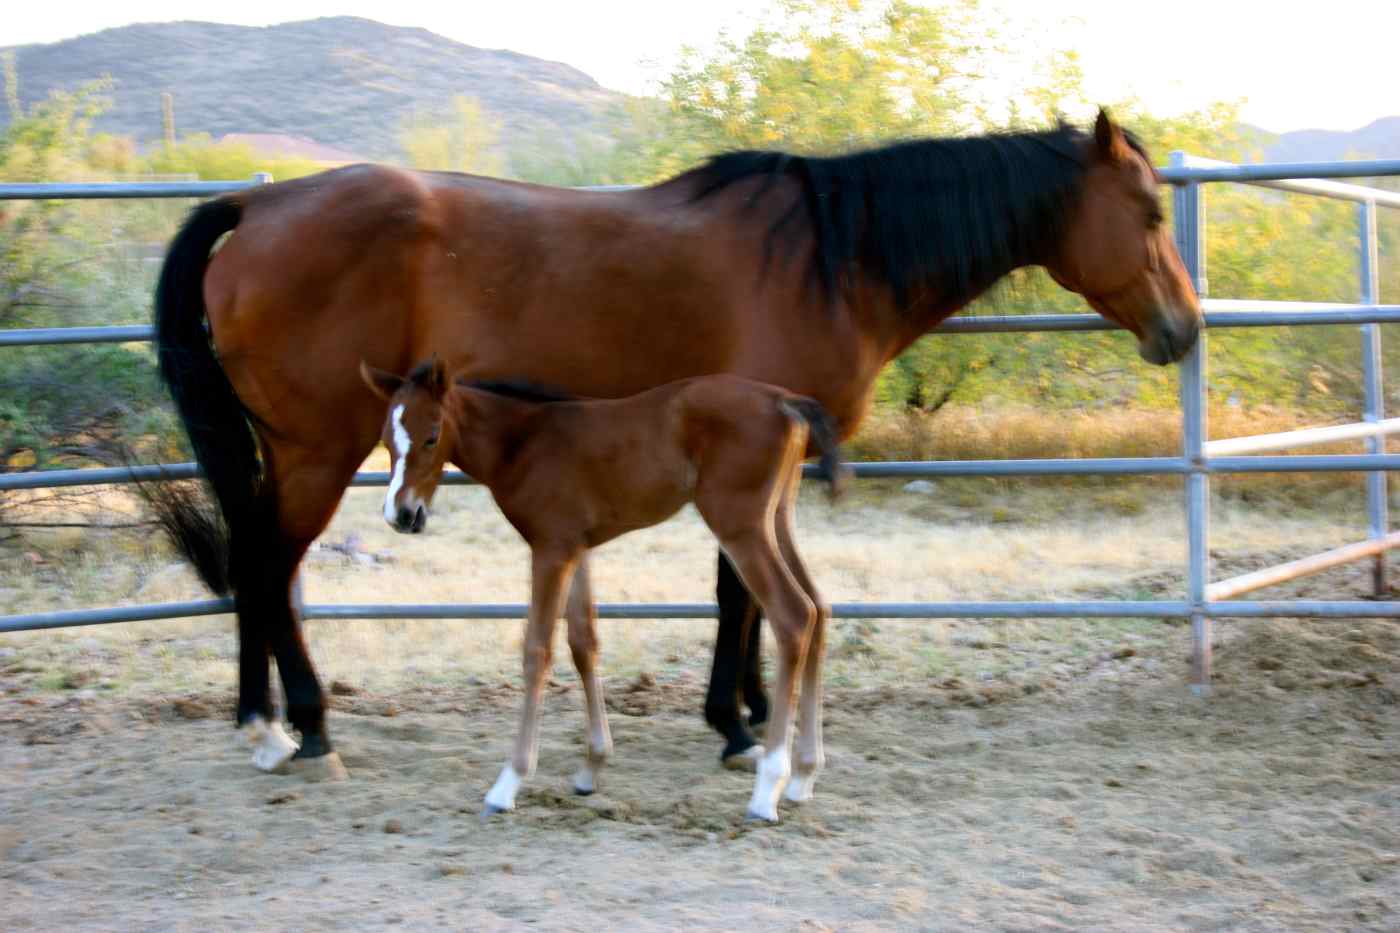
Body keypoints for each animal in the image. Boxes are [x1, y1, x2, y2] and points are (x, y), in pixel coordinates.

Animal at [360, 358, 847, 821]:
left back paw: (767, 791)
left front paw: (508, 783)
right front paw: (592, 766)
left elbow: (537, 650)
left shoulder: (550, 550)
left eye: (431, 436)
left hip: (739, 524)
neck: (524, 442)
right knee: (820, 610)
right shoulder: (575, 549)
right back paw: (804, 776)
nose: (401, 515)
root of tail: (785, 400)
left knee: (794, 615)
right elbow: (583, 643)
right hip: (778, 519)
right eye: (386, 439)